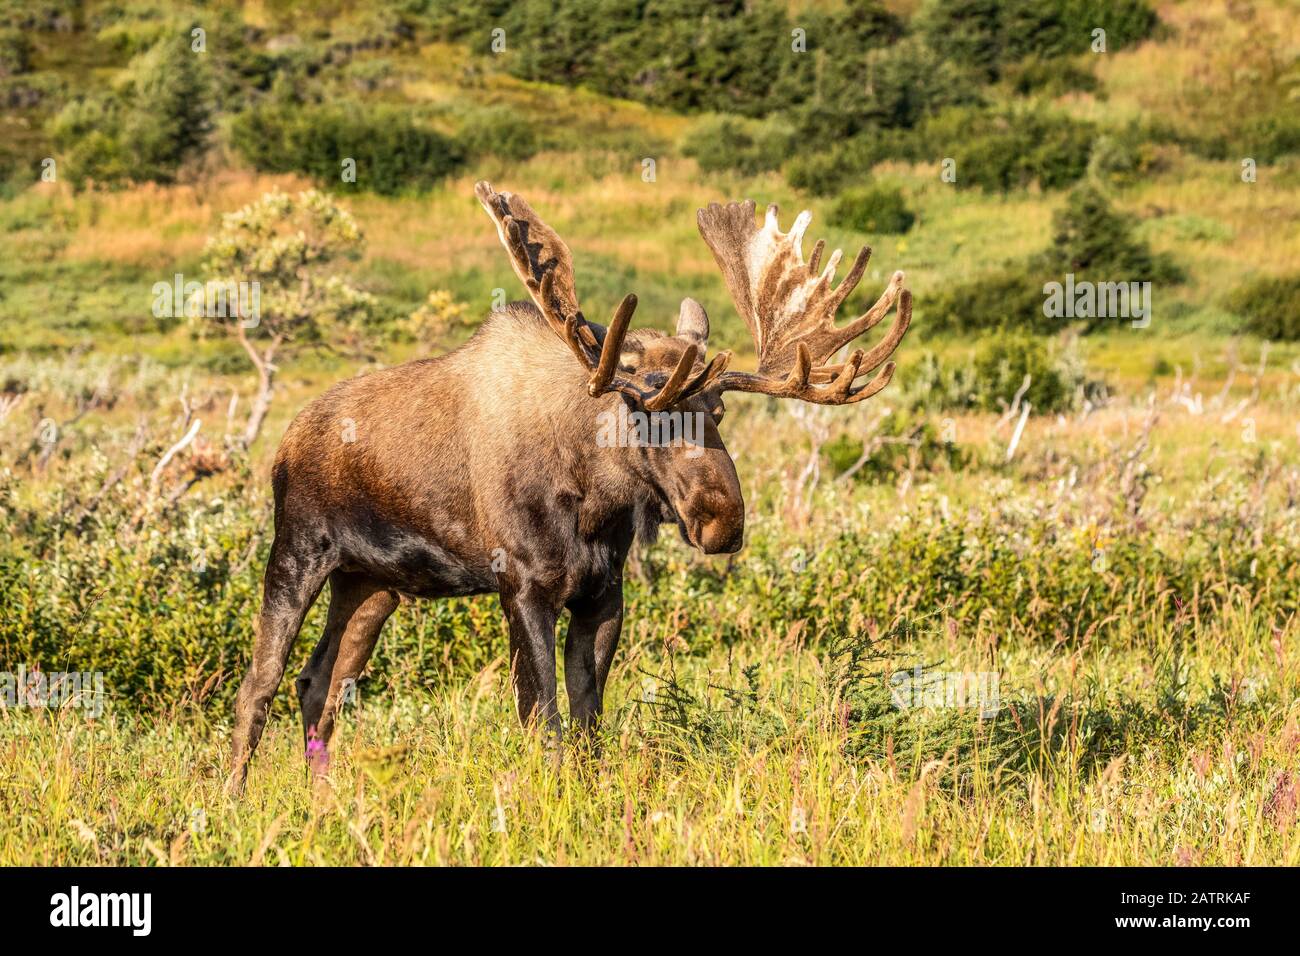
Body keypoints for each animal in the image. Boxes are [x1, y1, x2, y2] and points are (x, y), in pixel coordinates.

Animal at [226, 181, 911, 792]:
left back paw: (322, 799)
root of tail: (284, 444)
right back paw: (232, 798)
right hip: (298, 552)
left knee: (319, 682)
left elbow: (588, 721)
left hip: (372, 583)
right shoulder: (524, 587)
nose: (722, 520)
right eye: (644, 414)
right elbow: (544, 719)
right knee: (259, 683)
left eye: (717, 412)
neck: (592, 505)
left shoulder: (603, 594)